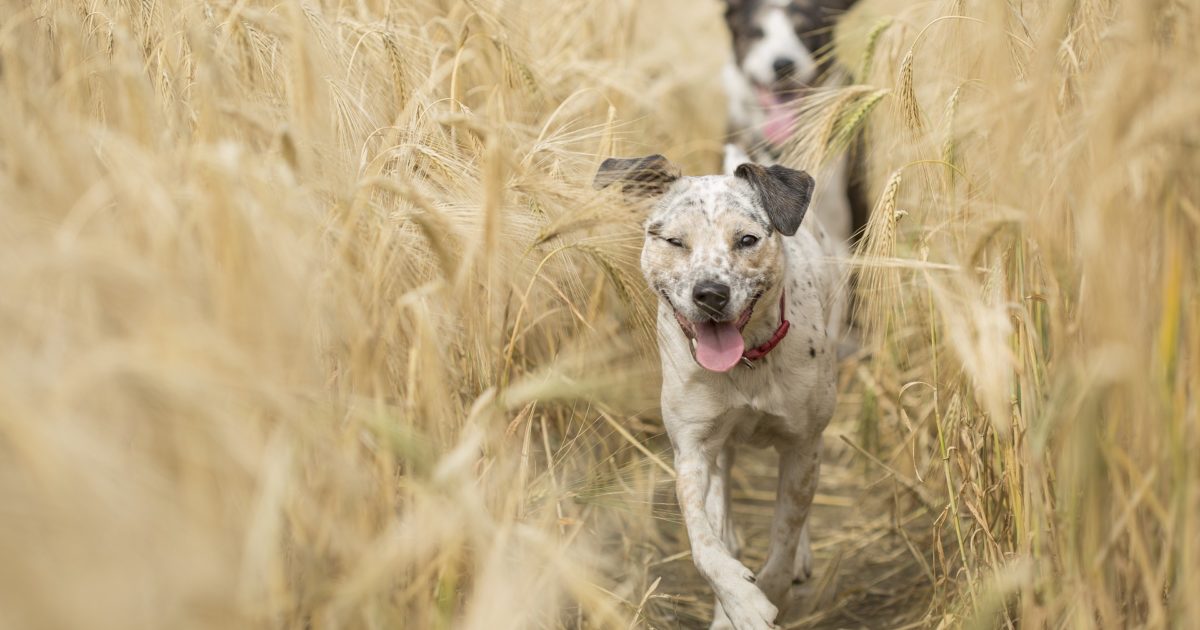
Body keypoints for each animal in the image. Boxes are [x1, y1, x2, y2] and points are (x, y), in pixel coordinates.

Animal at [594, 155, 843, 630]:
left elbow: (784, 538)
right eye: (675, 241)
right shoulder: (692, 449)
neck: (746, 363)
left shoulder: (802, 445)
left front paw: (766, 592)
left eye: (746, 239)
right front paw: (738, 602)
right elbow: (702, 542)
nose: (710, 293)